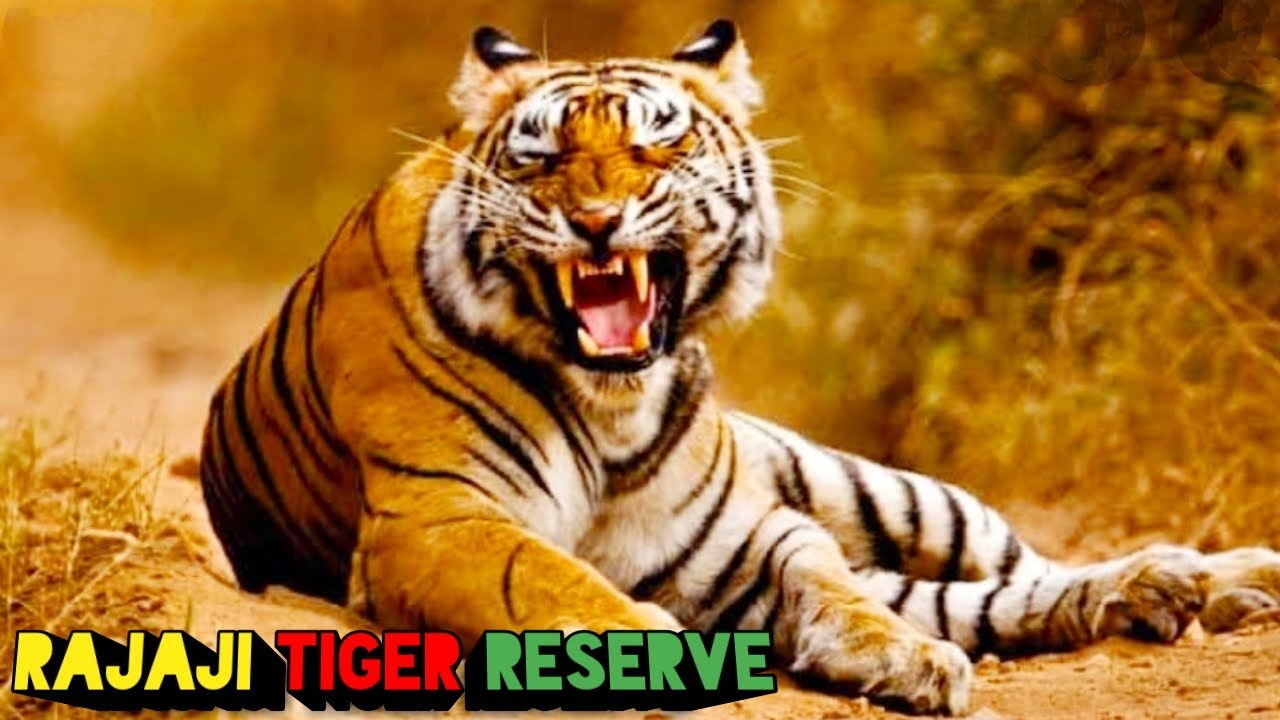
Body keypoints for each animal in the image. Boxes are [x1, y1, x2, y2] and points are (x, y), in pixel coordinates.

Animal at [199, 20, 1280, 714]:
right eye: (539, 160)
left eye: (654, 146)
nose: (596, 220)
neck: (612, 406)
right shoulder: (434, 522)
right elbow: (553, 584)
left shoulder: (749, 534)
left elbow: (836, 589)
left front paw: (904, 659)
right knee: (979, 596)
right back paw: (1175, 593)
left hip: (884, 488)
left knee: (1016, 568)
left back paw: (1204, 578)